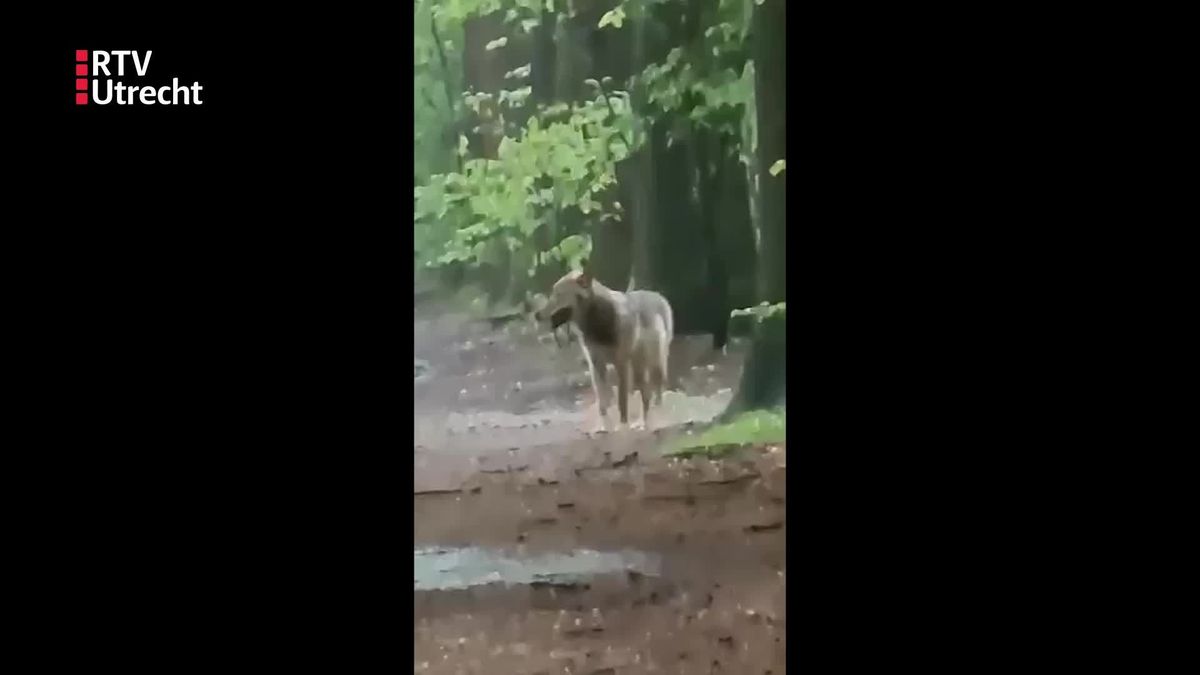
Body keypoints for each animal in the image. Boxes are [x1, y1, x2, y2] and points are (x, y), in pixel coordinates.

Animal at [535, 270, 674, 430]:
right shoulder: (596, 364)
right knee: (644, 394)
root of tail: (657, 295)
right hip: (637, 367)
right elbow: (603, 402)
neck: (596, 322)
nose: (536, 314)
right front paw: (604, 427)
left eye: (558, 294)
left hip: (651, 366)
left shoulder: (621, 365)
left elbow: (621, 401)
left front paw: (622, 426)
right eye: (553, 293)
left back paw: (649, 422)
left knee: (653, 394)